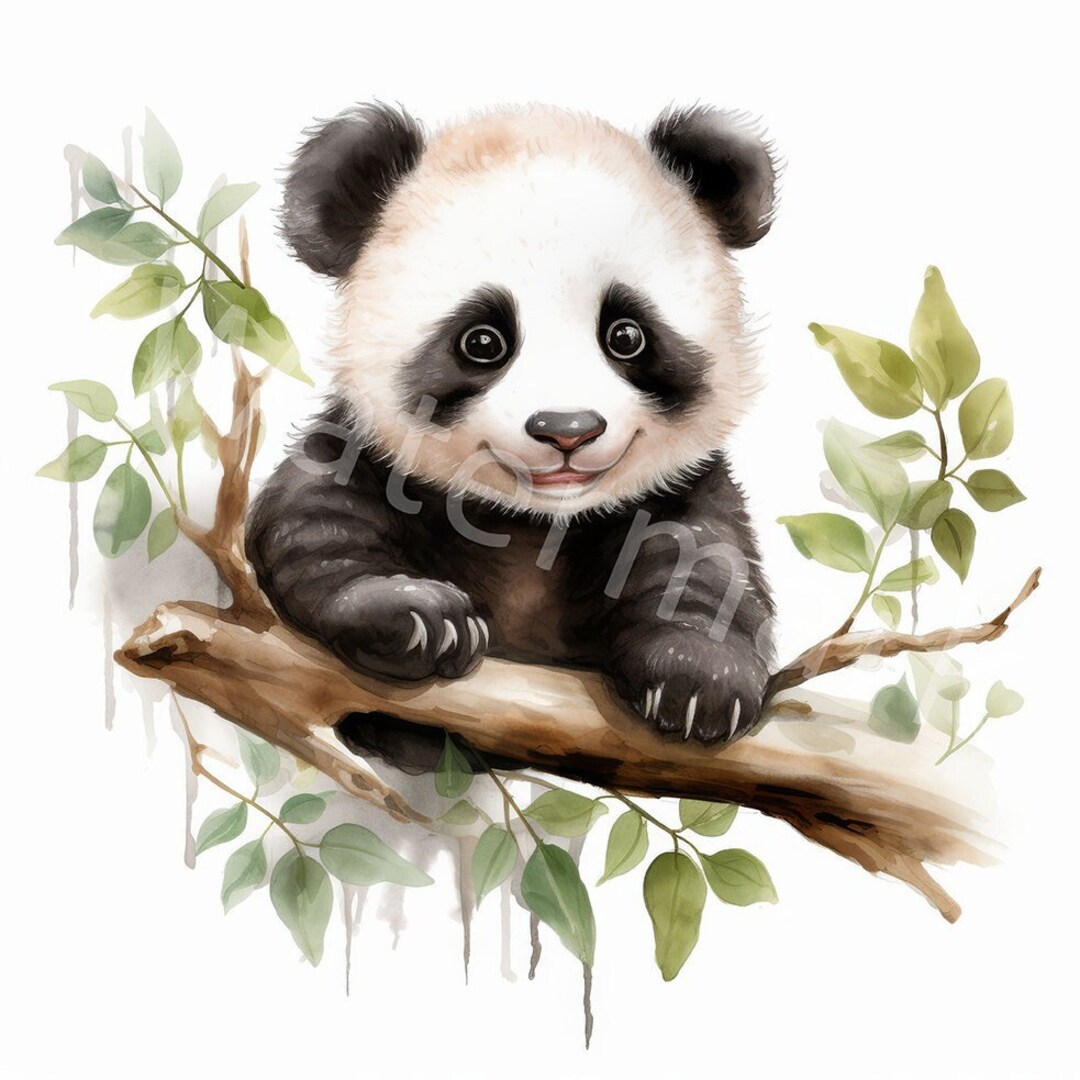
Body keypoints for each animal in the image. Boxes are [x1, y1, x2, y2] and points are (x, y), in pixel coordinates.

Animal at [246, 102, 777, 772]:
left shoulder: (679, 489)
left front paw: (699, 679)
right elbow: (313, 524)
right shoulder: (364, 454)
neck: (536, 521)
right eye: (483, 341)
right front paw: (416, 615)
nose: (567, 429)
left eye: (626, 334)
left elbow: (706, 562)